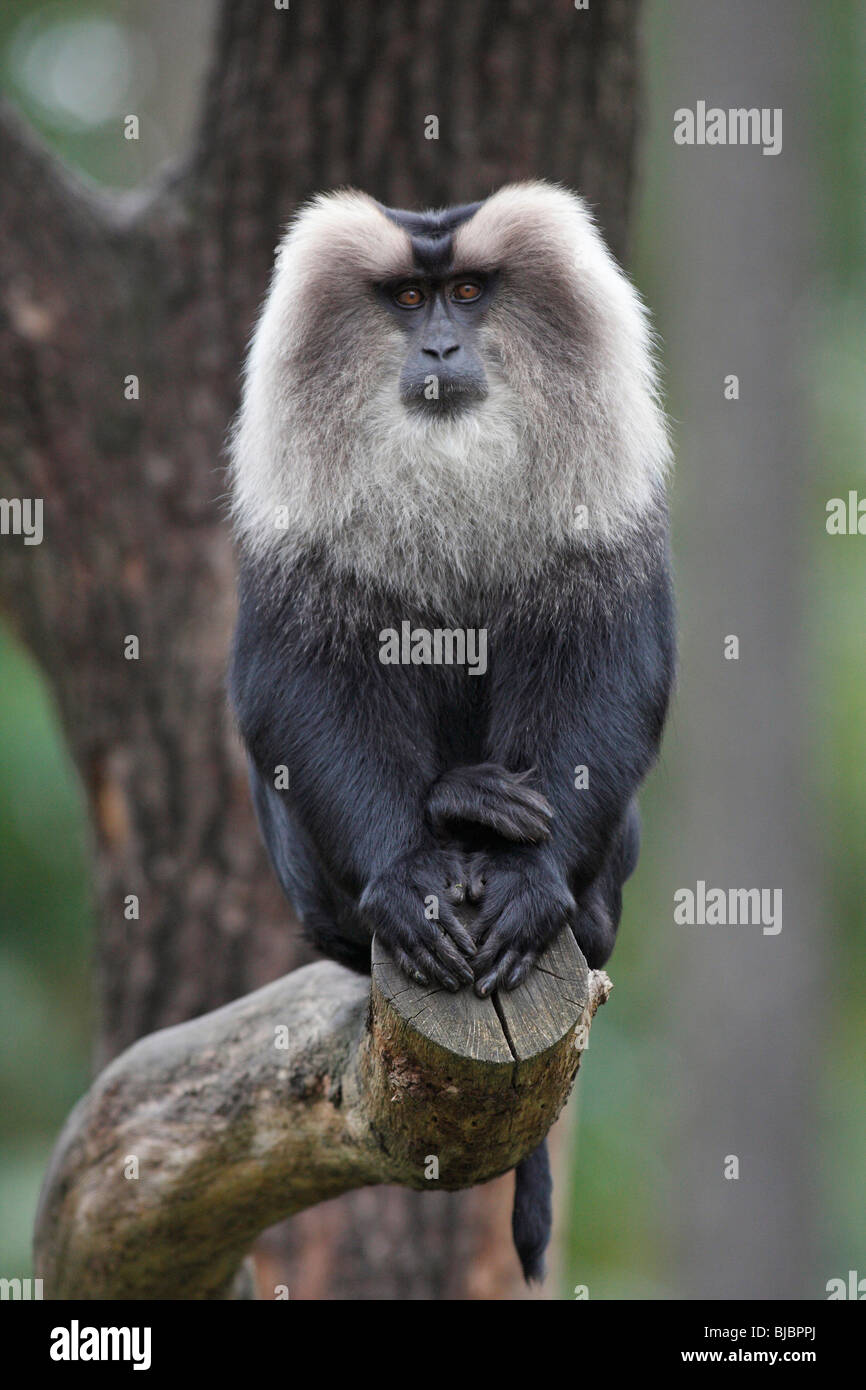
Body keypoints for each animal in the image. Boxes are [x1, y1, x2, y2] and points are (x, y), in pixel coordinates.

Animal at [228, 182, 675, 1284]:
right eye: (406, 299)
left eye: (468, 293)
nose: (436, 346)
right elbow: (292, 684)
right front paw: (409, 879)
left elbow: (612, 660)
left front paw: (526, 885)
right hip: (315, 901)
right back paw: (455, 809)